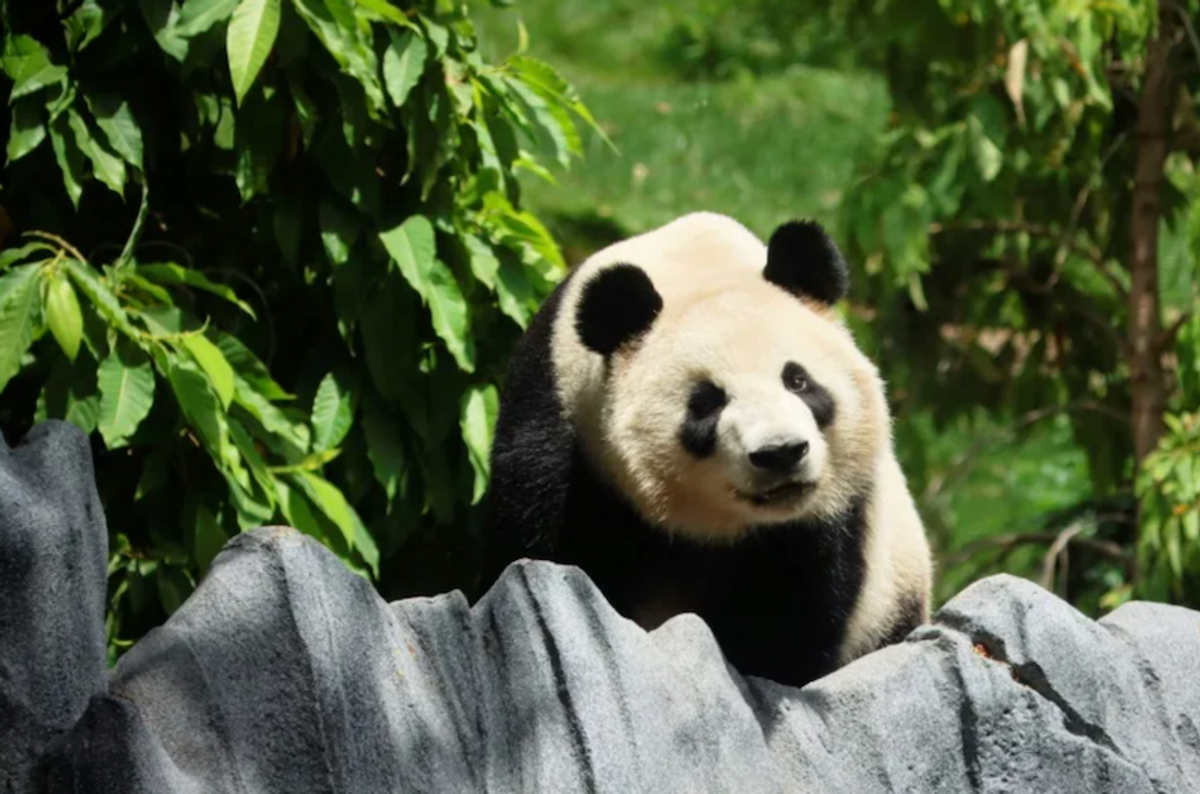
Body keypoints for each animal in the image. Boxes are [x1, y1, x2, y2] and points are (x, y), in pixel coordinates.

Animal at [482, 211, 933, 689]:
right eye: (707, 402)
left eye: (798, 381)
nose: (780, 453)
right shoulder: (561, 430)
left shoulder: (830, 520)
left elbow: (790, 623)